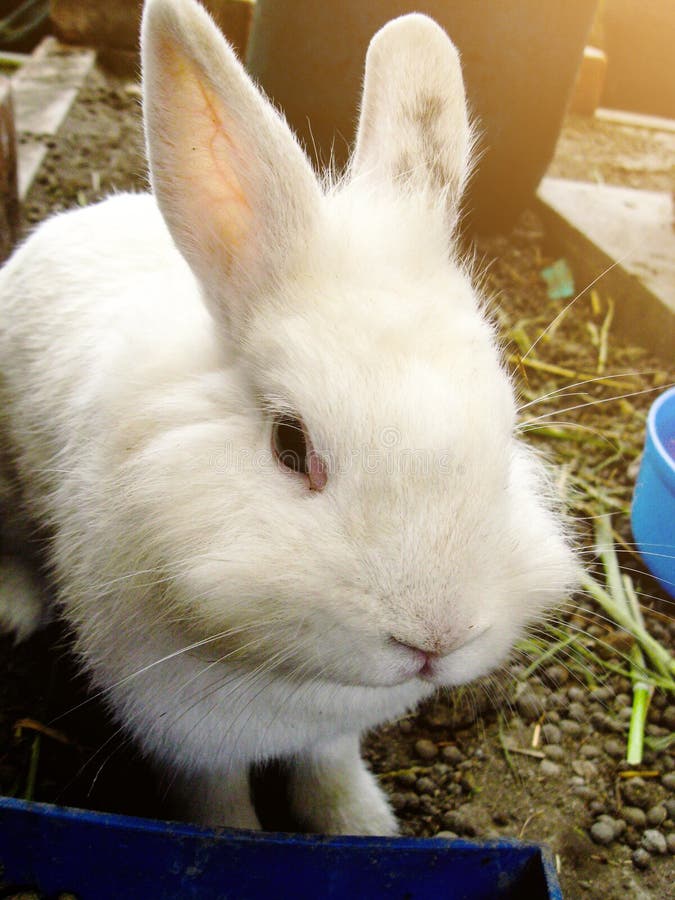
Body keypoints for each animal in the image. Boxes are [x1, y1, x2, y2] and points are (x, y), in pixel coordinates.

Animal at [0, 0, 577, 834]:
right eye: (289, 444)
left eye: (503, 441)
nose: (434, 637)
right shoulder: (185, 738)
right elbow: (218, 806)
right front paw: (239, 839)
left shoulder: (329, 733)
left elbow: (329, 768)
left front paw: (364, 826)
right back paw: (14, 606)